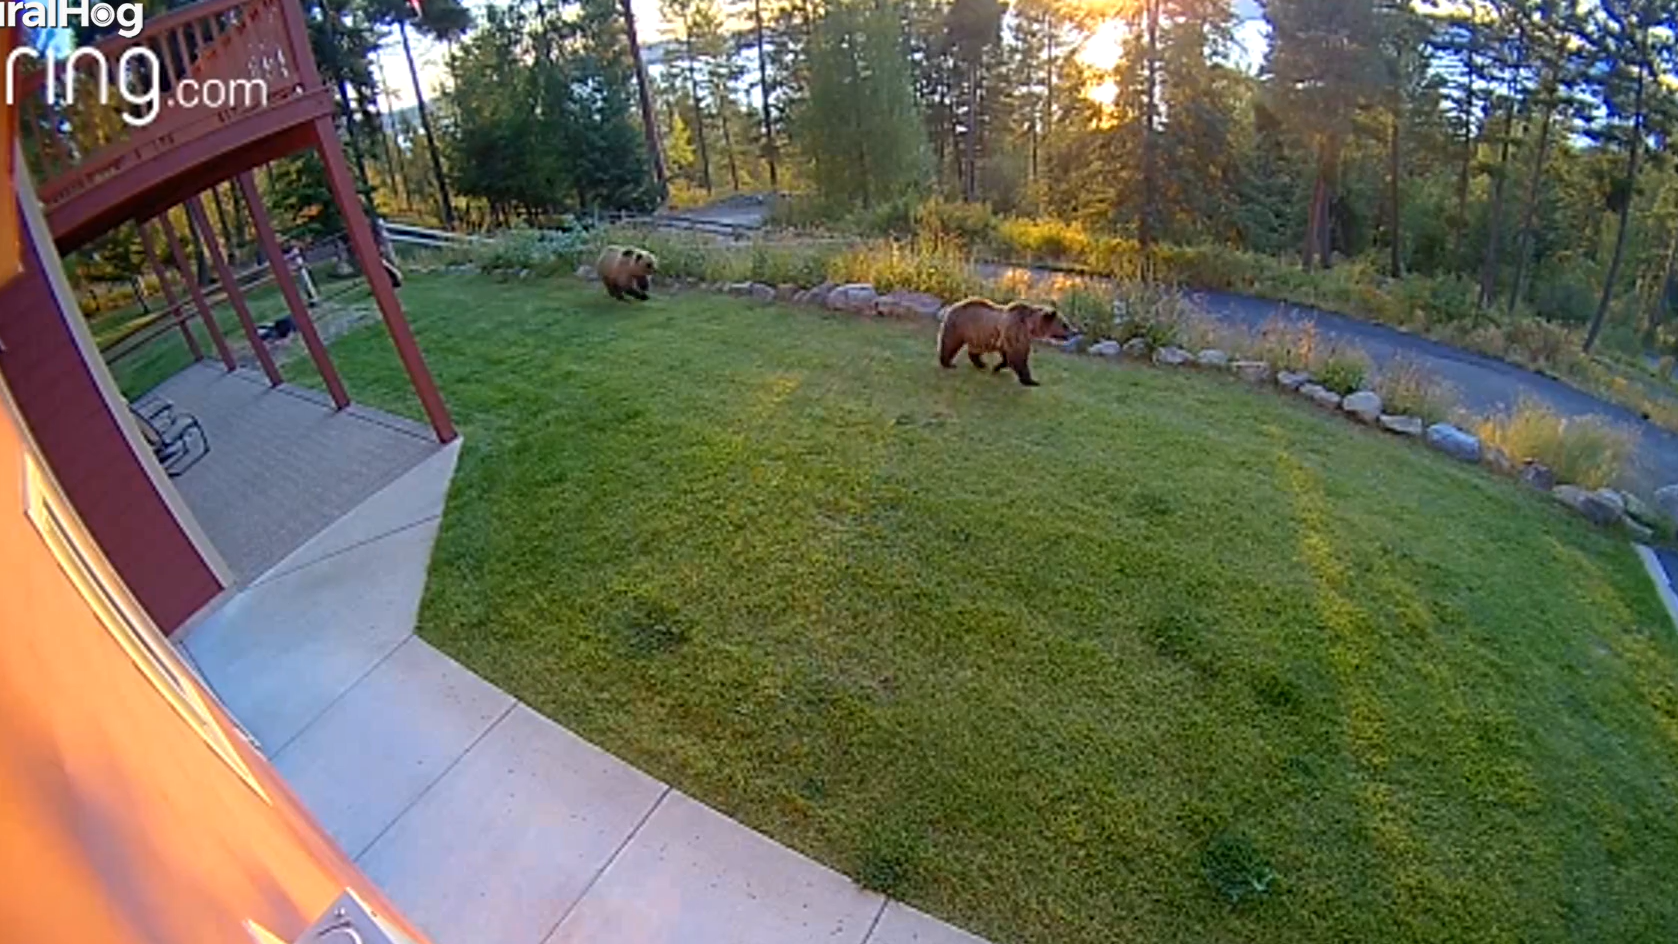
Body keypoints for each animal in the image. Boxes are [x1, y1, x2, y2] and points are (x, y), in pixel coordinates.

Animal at [936, 297, 1073, 386]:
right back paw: (948, 363)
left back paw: (981, 363)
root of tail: (951, 306)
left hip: (978, 335)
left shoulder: (1009, 339)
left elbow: (1008, 356)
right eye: (1065, 325)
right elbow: (1018, 357)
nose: (1074, 331)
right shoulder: (1015, 331)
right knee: (949, 344)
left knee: (974, 350)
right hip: (959, 327)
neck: (1030, 326)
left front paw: (997, 367)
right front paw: (1032, 381)